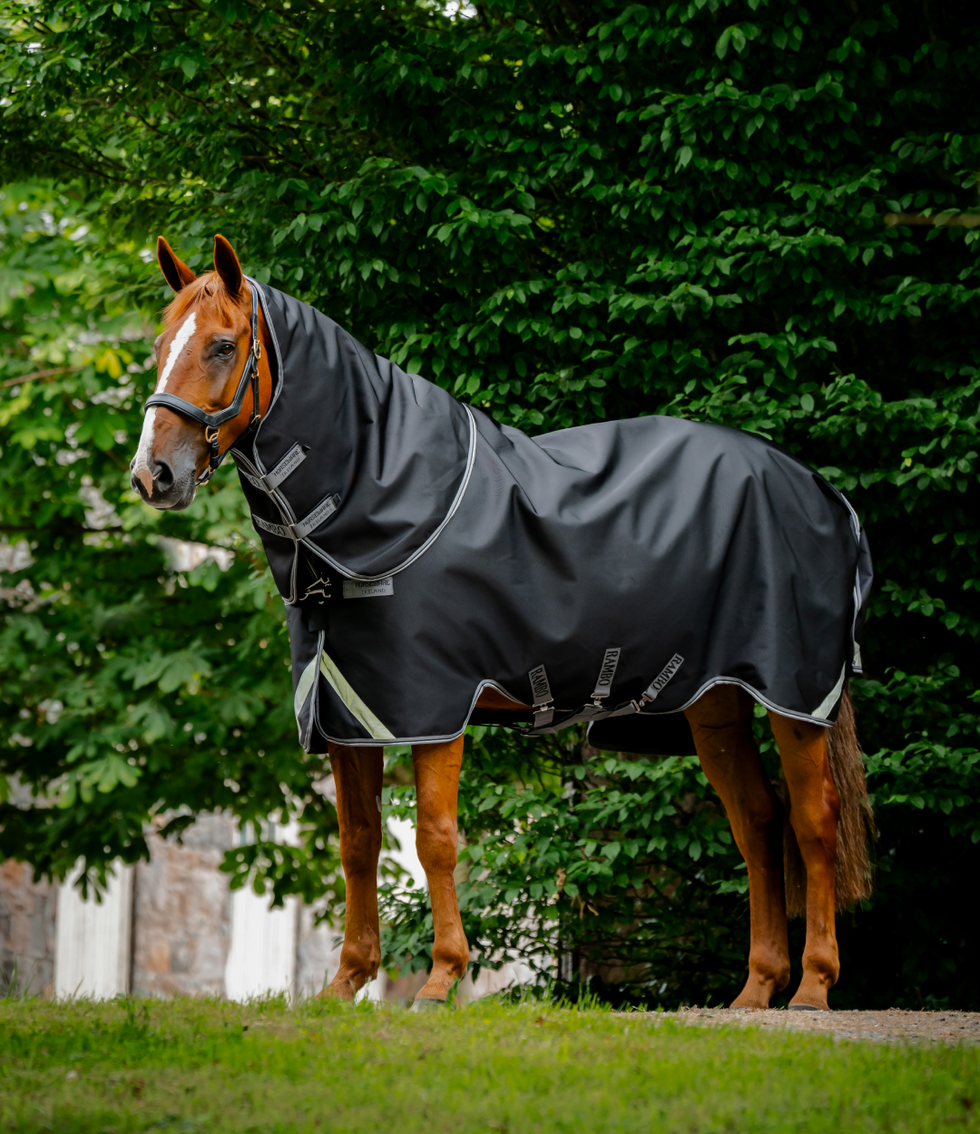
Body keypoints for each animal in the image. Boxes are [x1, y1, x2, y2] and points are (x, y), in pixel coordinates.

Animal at [131, 233, 873, 1011]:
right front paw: (346, 982)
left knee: (813, 820)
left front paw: (441, 979)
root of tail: (824, 494)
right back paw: (756, 989)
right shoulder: (350, 713)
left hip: (794, 698)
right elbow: (358, 841)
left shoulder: (434, 705)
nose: (153, 474)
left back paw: (813, 987)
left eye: (221, 345)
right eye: (159, 345)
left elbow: (434, 837)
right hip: (717, 703)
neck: (382, 498)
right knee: (757, 823)